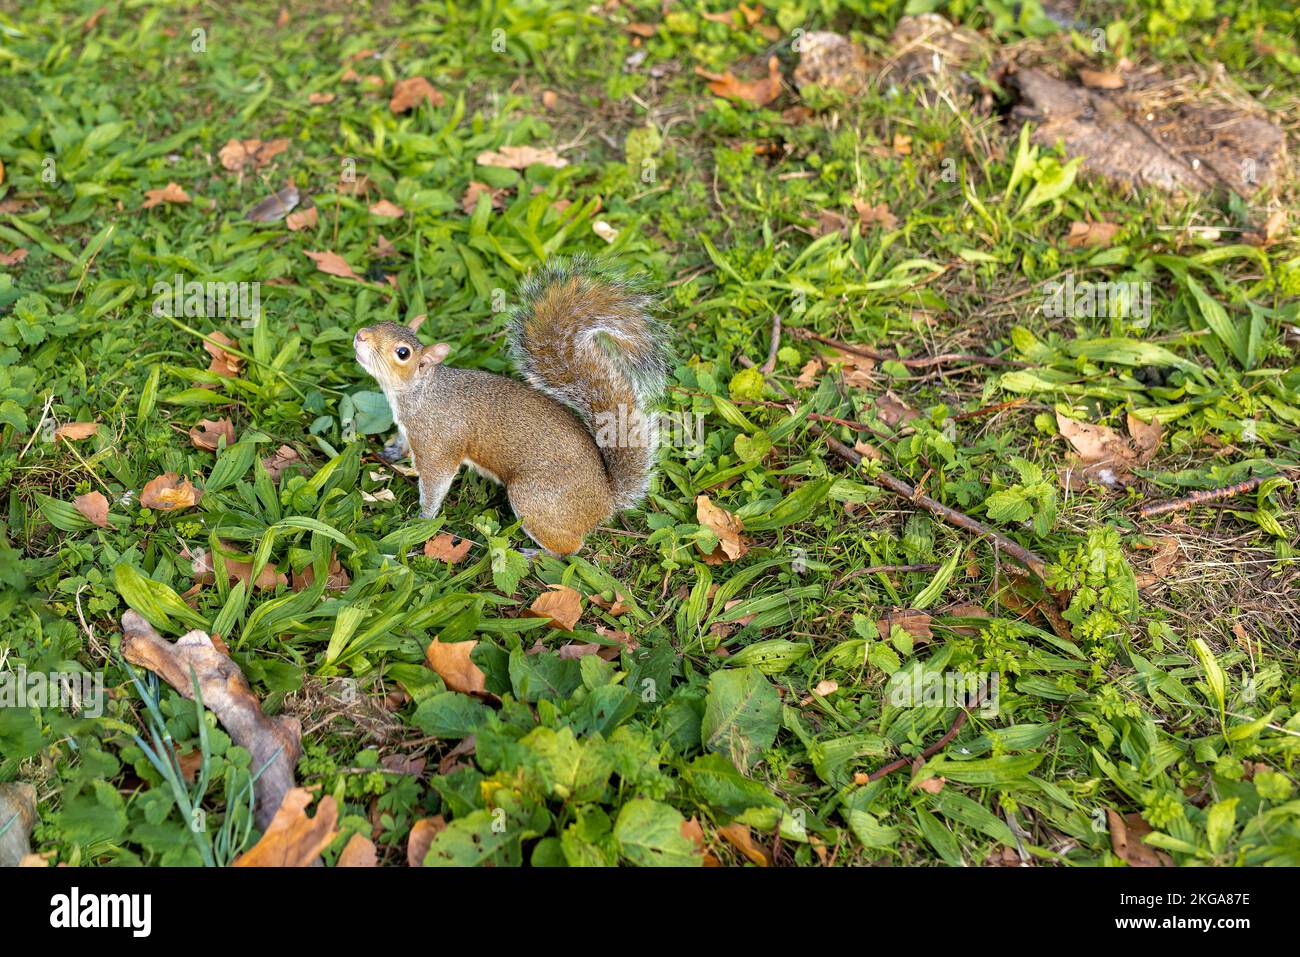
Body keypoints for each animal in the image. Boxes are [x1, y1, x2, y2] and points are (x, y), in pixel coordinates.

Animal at [353, 256, 669, 555]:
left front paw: (422, 520)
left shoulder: (438, 444)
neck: (420, 392)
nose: (360, 335)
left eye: (402, 353)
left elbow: (436, 482)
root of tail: (605, 501)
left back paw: (536, 555)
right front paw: (392, 450)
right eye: (387, 323)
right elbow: (402, 441)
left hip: (533, 497)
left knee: (570, 548)